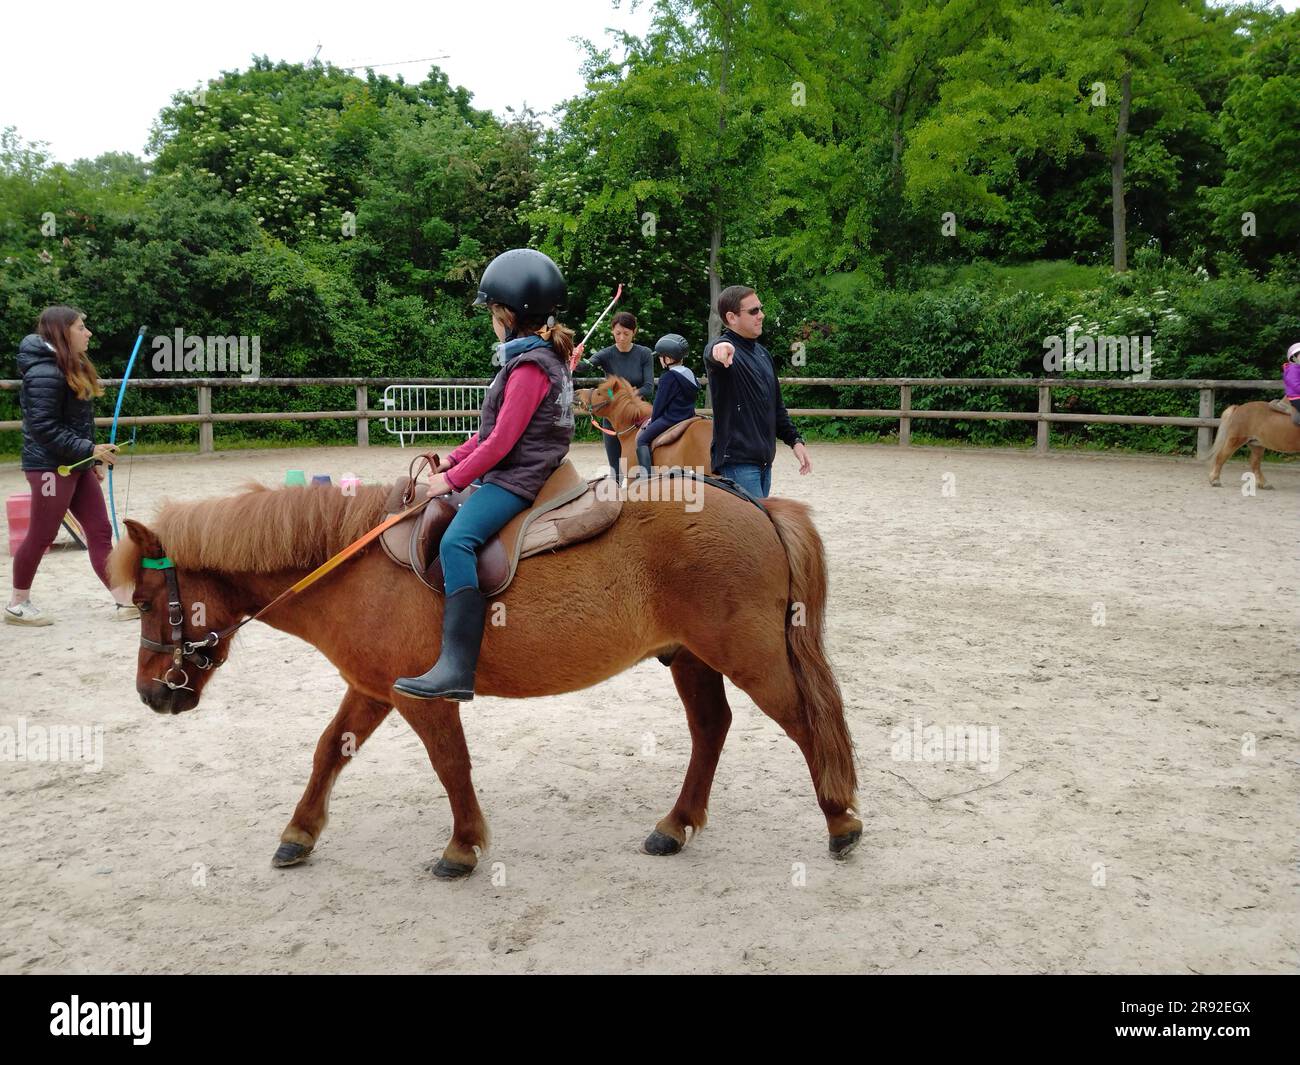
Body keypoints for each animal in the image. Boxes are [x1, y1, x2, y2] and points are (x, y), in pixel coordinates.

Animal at [107, 477, 861, 879]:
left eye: (144, 601)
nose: (151, 693)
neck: (352, 564)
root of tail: (758, 505)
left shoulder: (421, 699)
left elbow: (451, 765)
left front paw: (463, 846)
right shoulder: (374, 690)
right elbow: (328, 752)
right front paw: (298, 834)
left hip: (750, 658)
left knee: (807, 724)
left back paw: (840, 819)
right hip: (693, 658)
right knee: (712, 729)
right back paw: (675, 826)